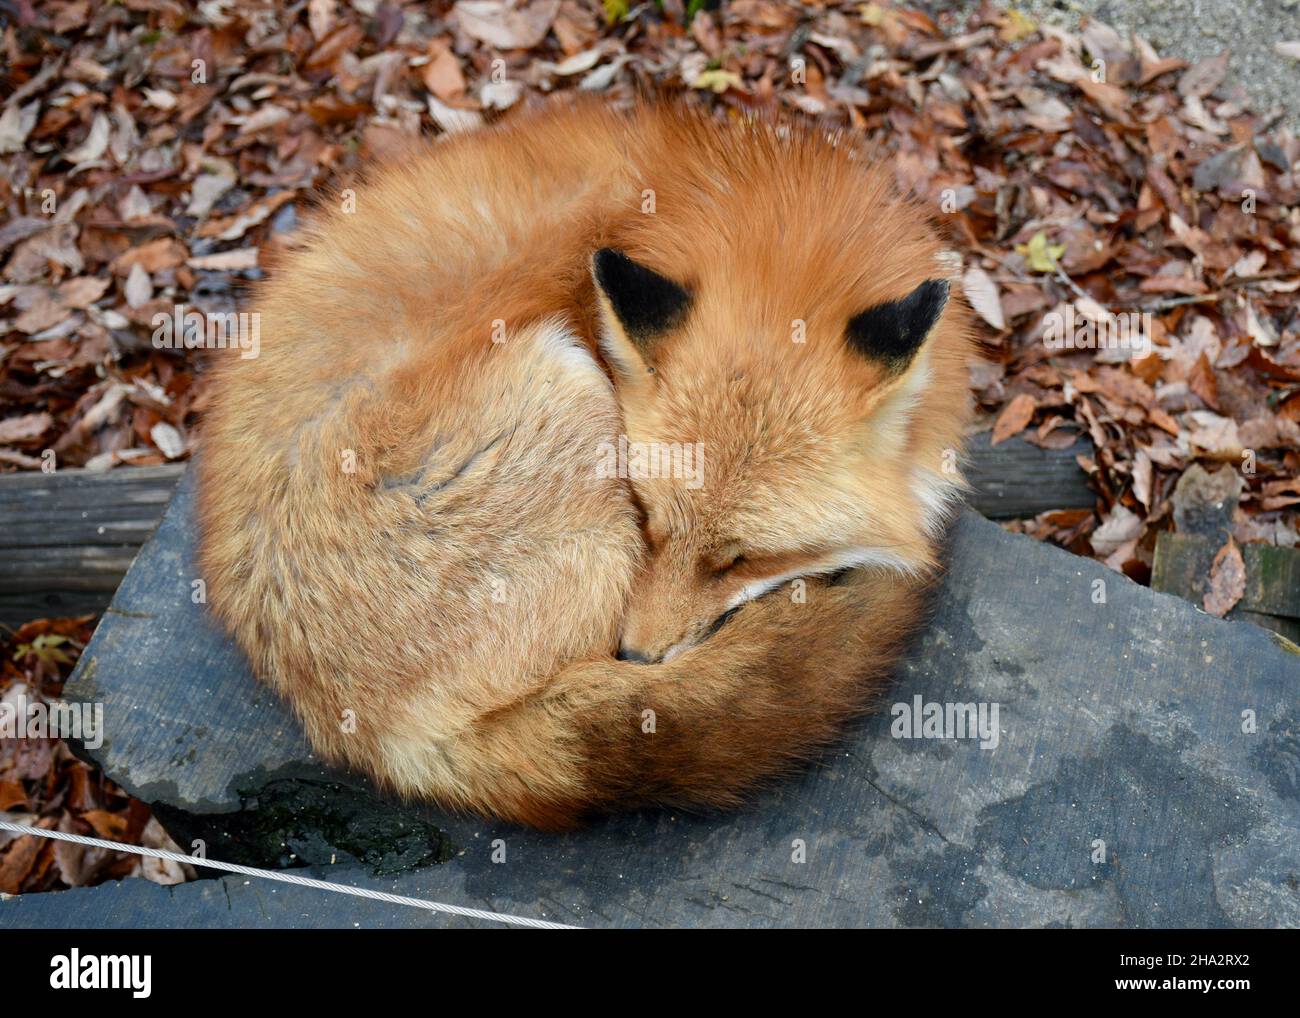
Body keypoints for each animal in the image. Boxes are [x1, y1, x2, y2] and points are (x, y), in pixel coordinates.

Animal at [196, 100, 975, 829]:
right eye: (648, 520)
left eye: (741, 559)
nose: (635, 656)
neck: (771, 233)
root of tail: (376, 741)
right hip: (569, 397)